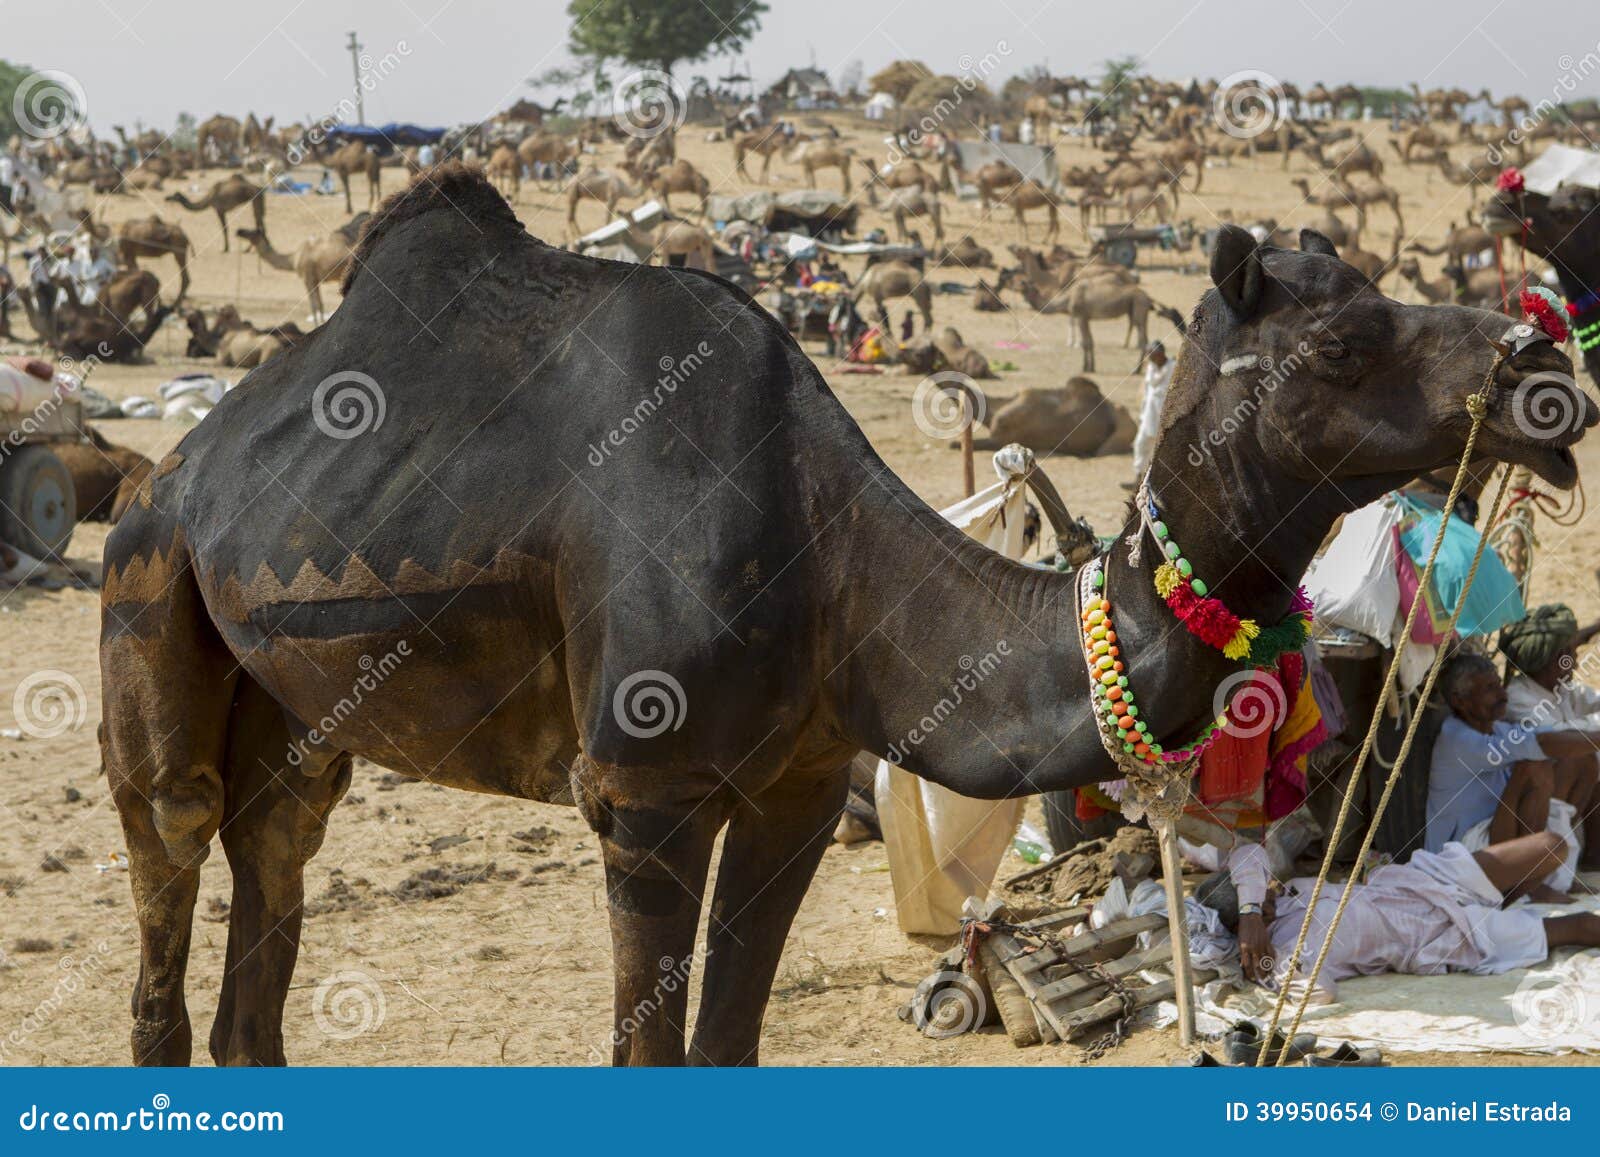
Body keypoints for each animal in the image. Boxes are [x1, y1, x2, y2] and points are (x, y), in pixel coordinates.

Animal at [236, 215, 366, 326]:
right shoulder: (315, 280)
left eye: (253, 231)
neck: (294, 259)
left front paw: (316, 324)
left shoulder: (308, 279)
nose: (239, 231)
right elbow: (320, 305)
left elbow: (314, 306)